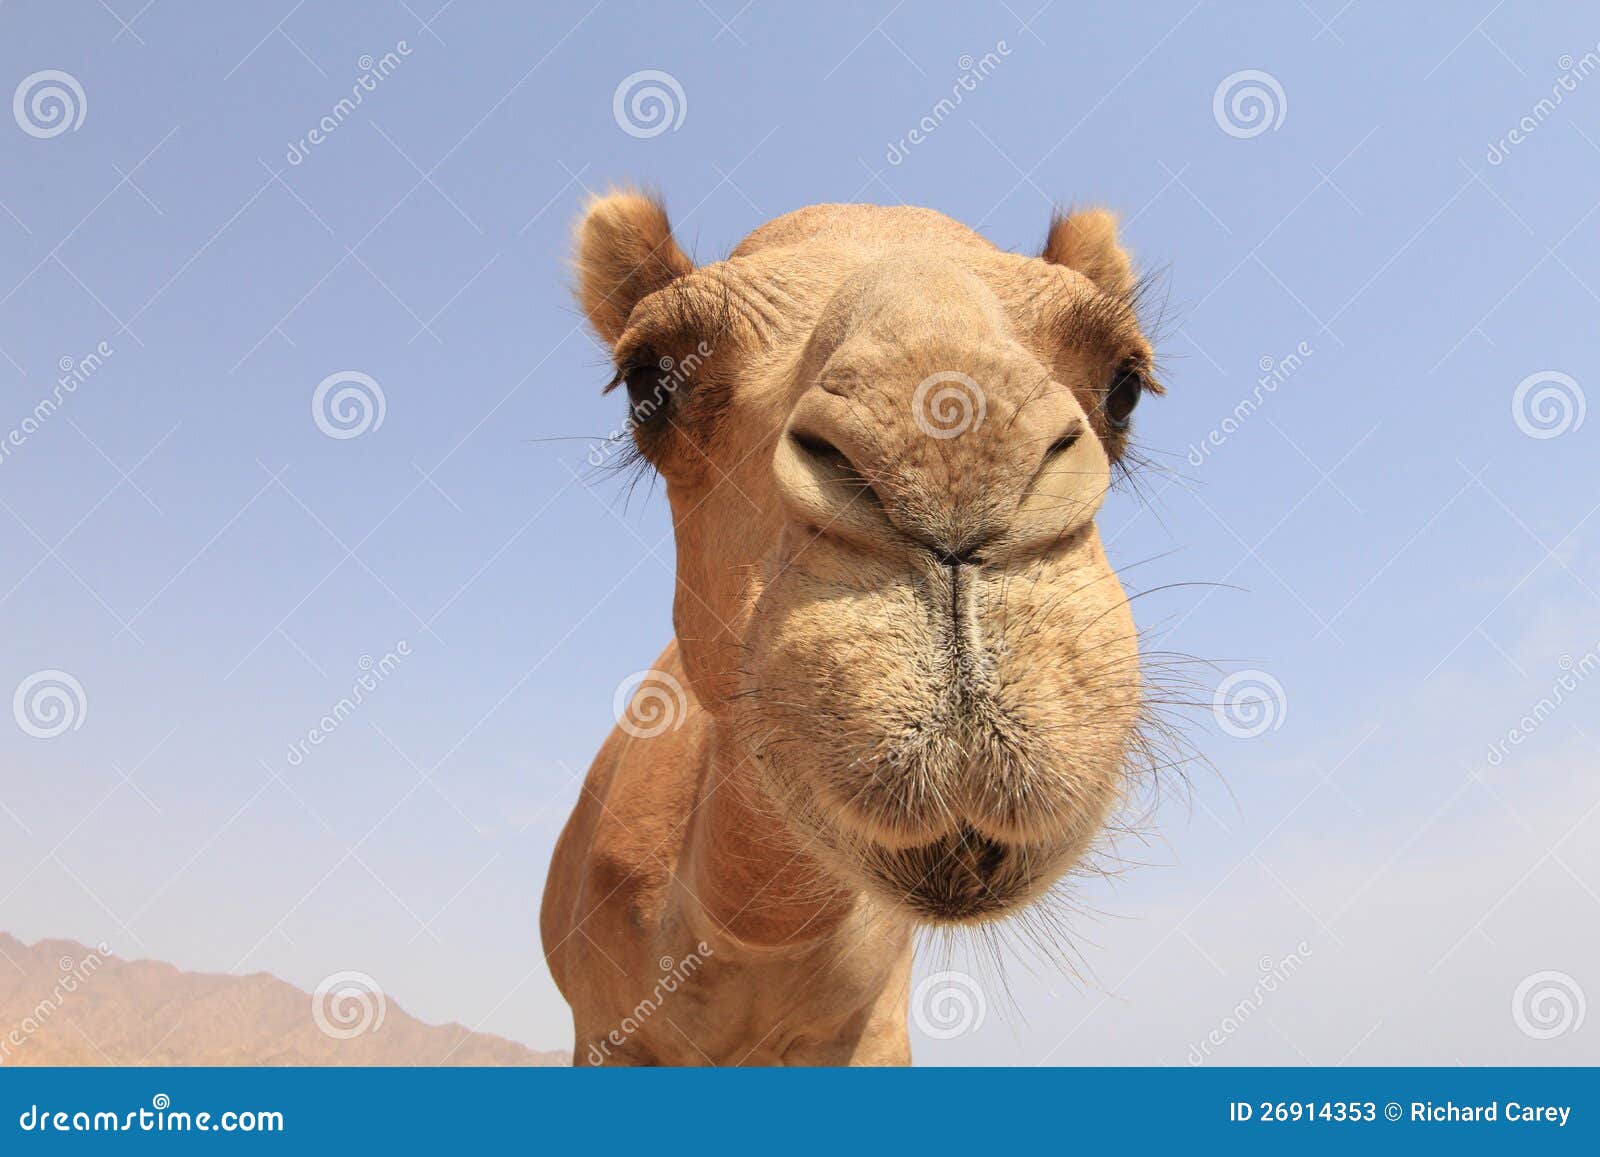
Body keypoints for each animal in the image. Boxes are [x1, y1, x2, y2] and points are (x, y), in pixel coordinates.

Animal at [541, 191, 1163, 1065]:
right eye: (648, 380)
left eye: (1125, 387)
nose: (949, 455)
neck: (744, 951)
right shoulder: (605, 1034)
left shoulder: (871, 1029)